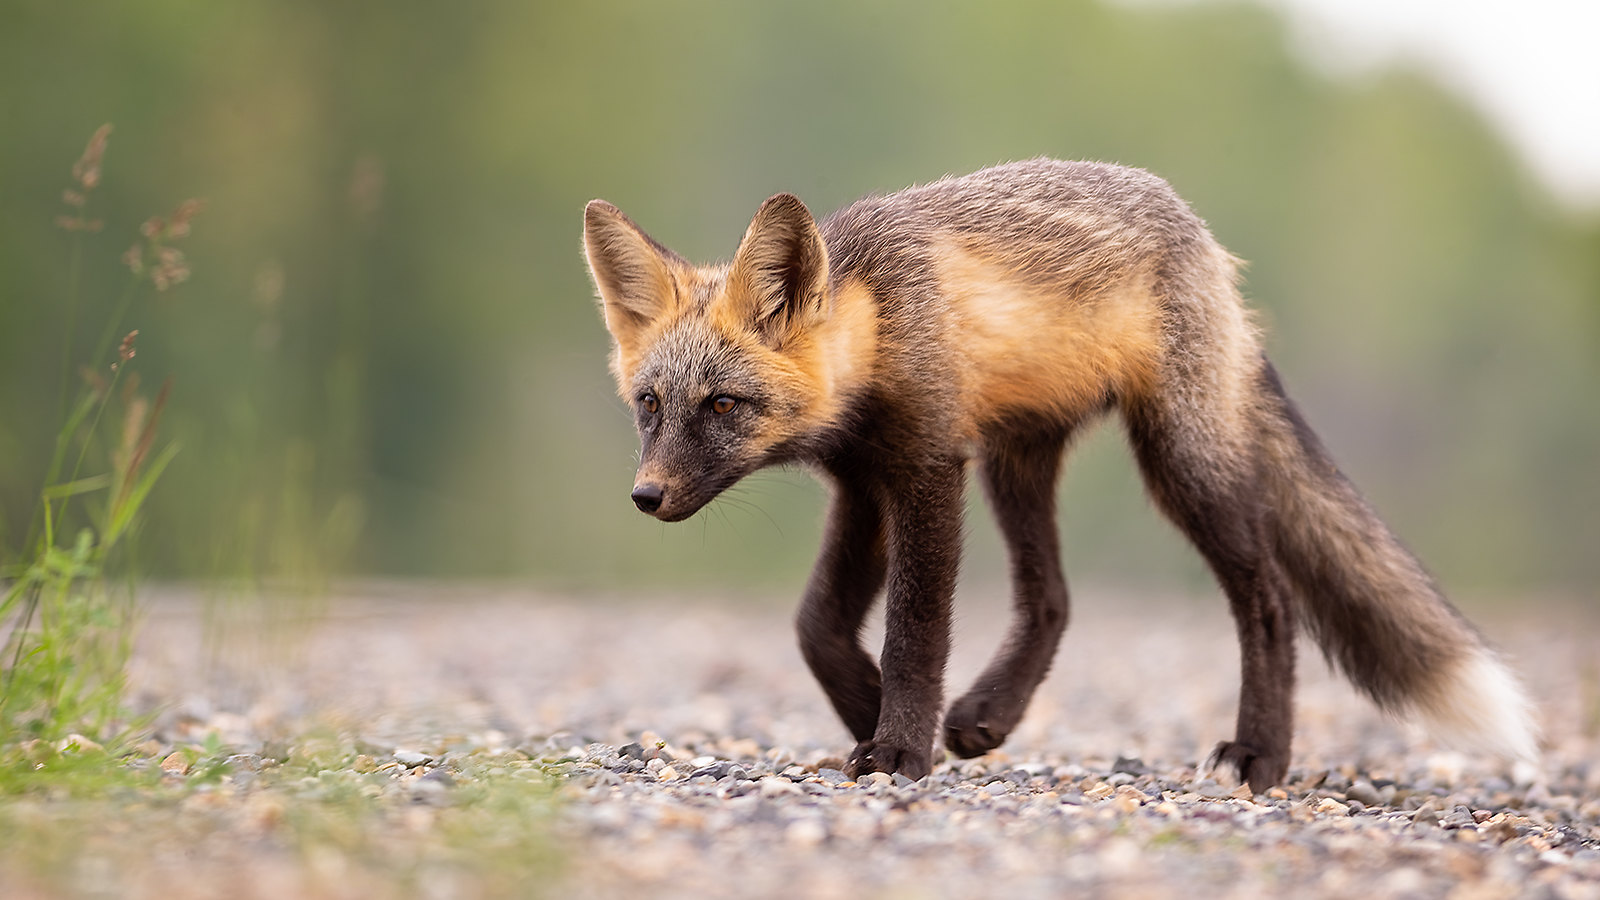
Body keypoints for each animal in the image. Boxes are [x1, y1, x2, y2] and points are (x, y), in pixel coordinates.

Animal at [581, 158, 1539, 791]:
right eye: (650, 404)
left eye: (722, 405)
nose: (646, 496)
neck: (879, 321)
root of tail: (1205, 240)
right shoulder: (863, 482)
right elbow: (817, 625)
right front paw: (871, 710)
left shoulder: (927, 467)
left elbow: (915, 631)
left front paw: (897, 747)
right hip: (1018, 465)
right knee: (1054, 598)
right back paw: (990, 714)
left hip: (1178, 464)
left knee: (1269, 597)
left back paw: (1260, 756)